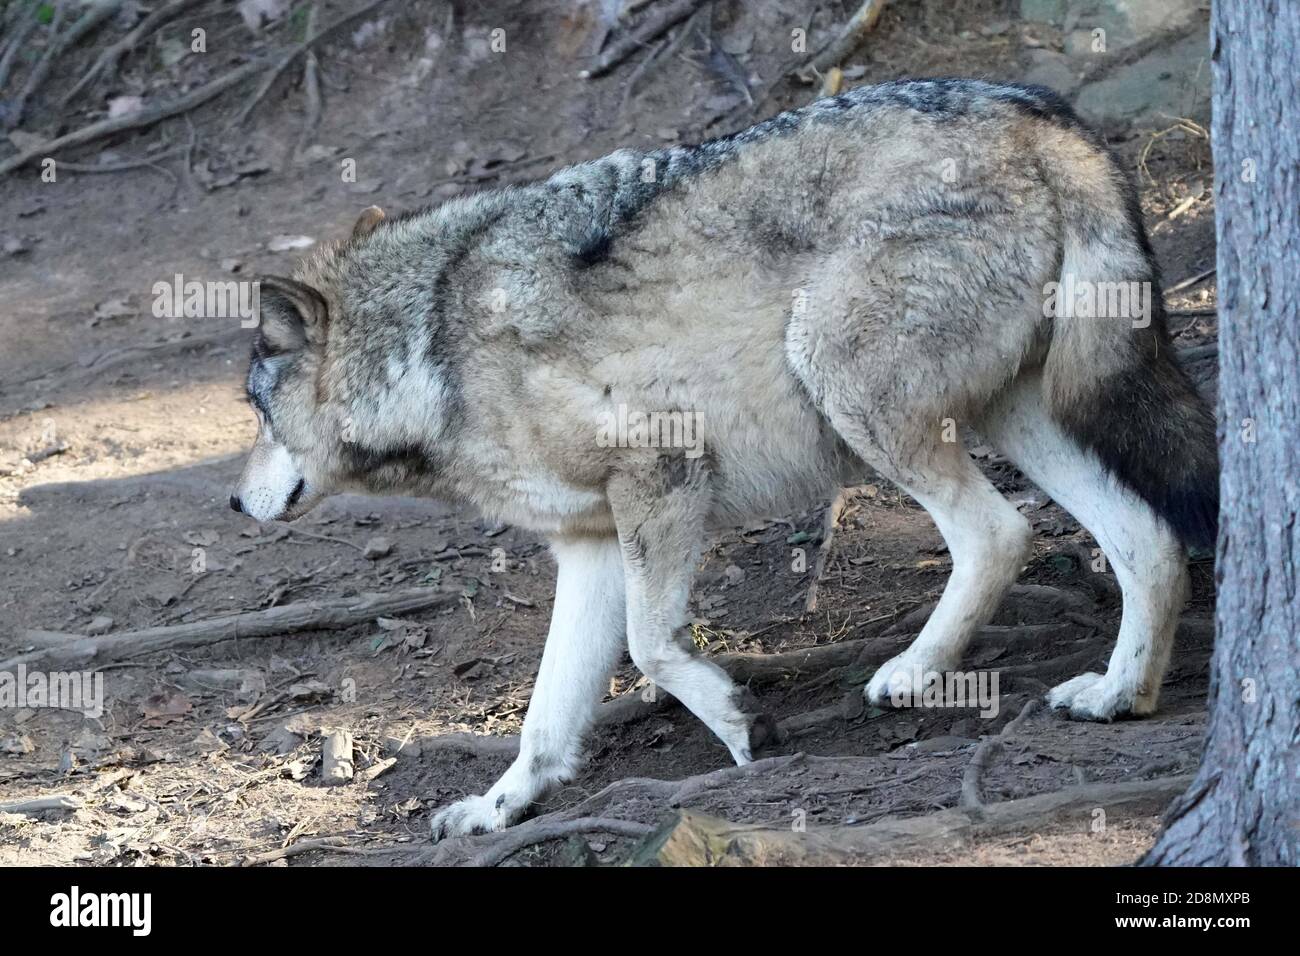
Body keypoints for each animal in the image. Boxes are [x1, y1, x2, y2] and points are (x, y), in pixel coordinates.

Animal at [231, 79, 1218, 840]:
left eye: (255, 411)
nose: (236, 507)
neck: (430, 347)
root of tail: (1039, 112)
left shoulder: (662, 474)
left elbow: (653, 648)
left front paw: (743, 729)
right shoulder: (590, 548)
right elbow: (545, 720)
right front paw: (494, 809)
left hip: (846, 383)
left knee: (1000, 533)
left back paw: (910, 675)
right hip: (1016, 416)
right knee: (1147, 540)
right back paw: (1119, 695)